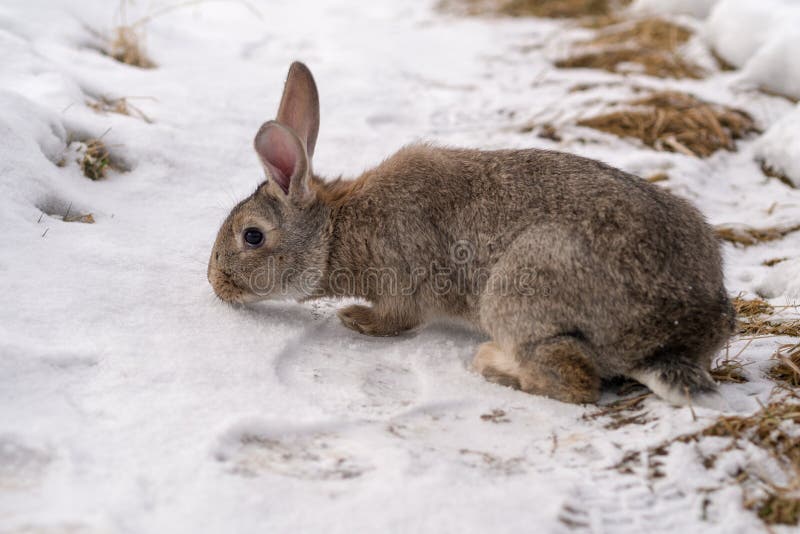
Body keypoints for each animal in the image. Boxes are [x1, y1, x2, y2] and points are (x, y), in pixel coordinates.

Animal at [208, 61, 735, 407]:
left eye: (251, 237)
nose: (216, 285)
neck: (336, 228)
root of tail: (673, 337)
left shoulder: (401, 275)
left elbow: (396, 319)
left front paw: (354, 319)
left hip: (520, 289)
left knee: (574, 380)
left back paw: (493, 365)